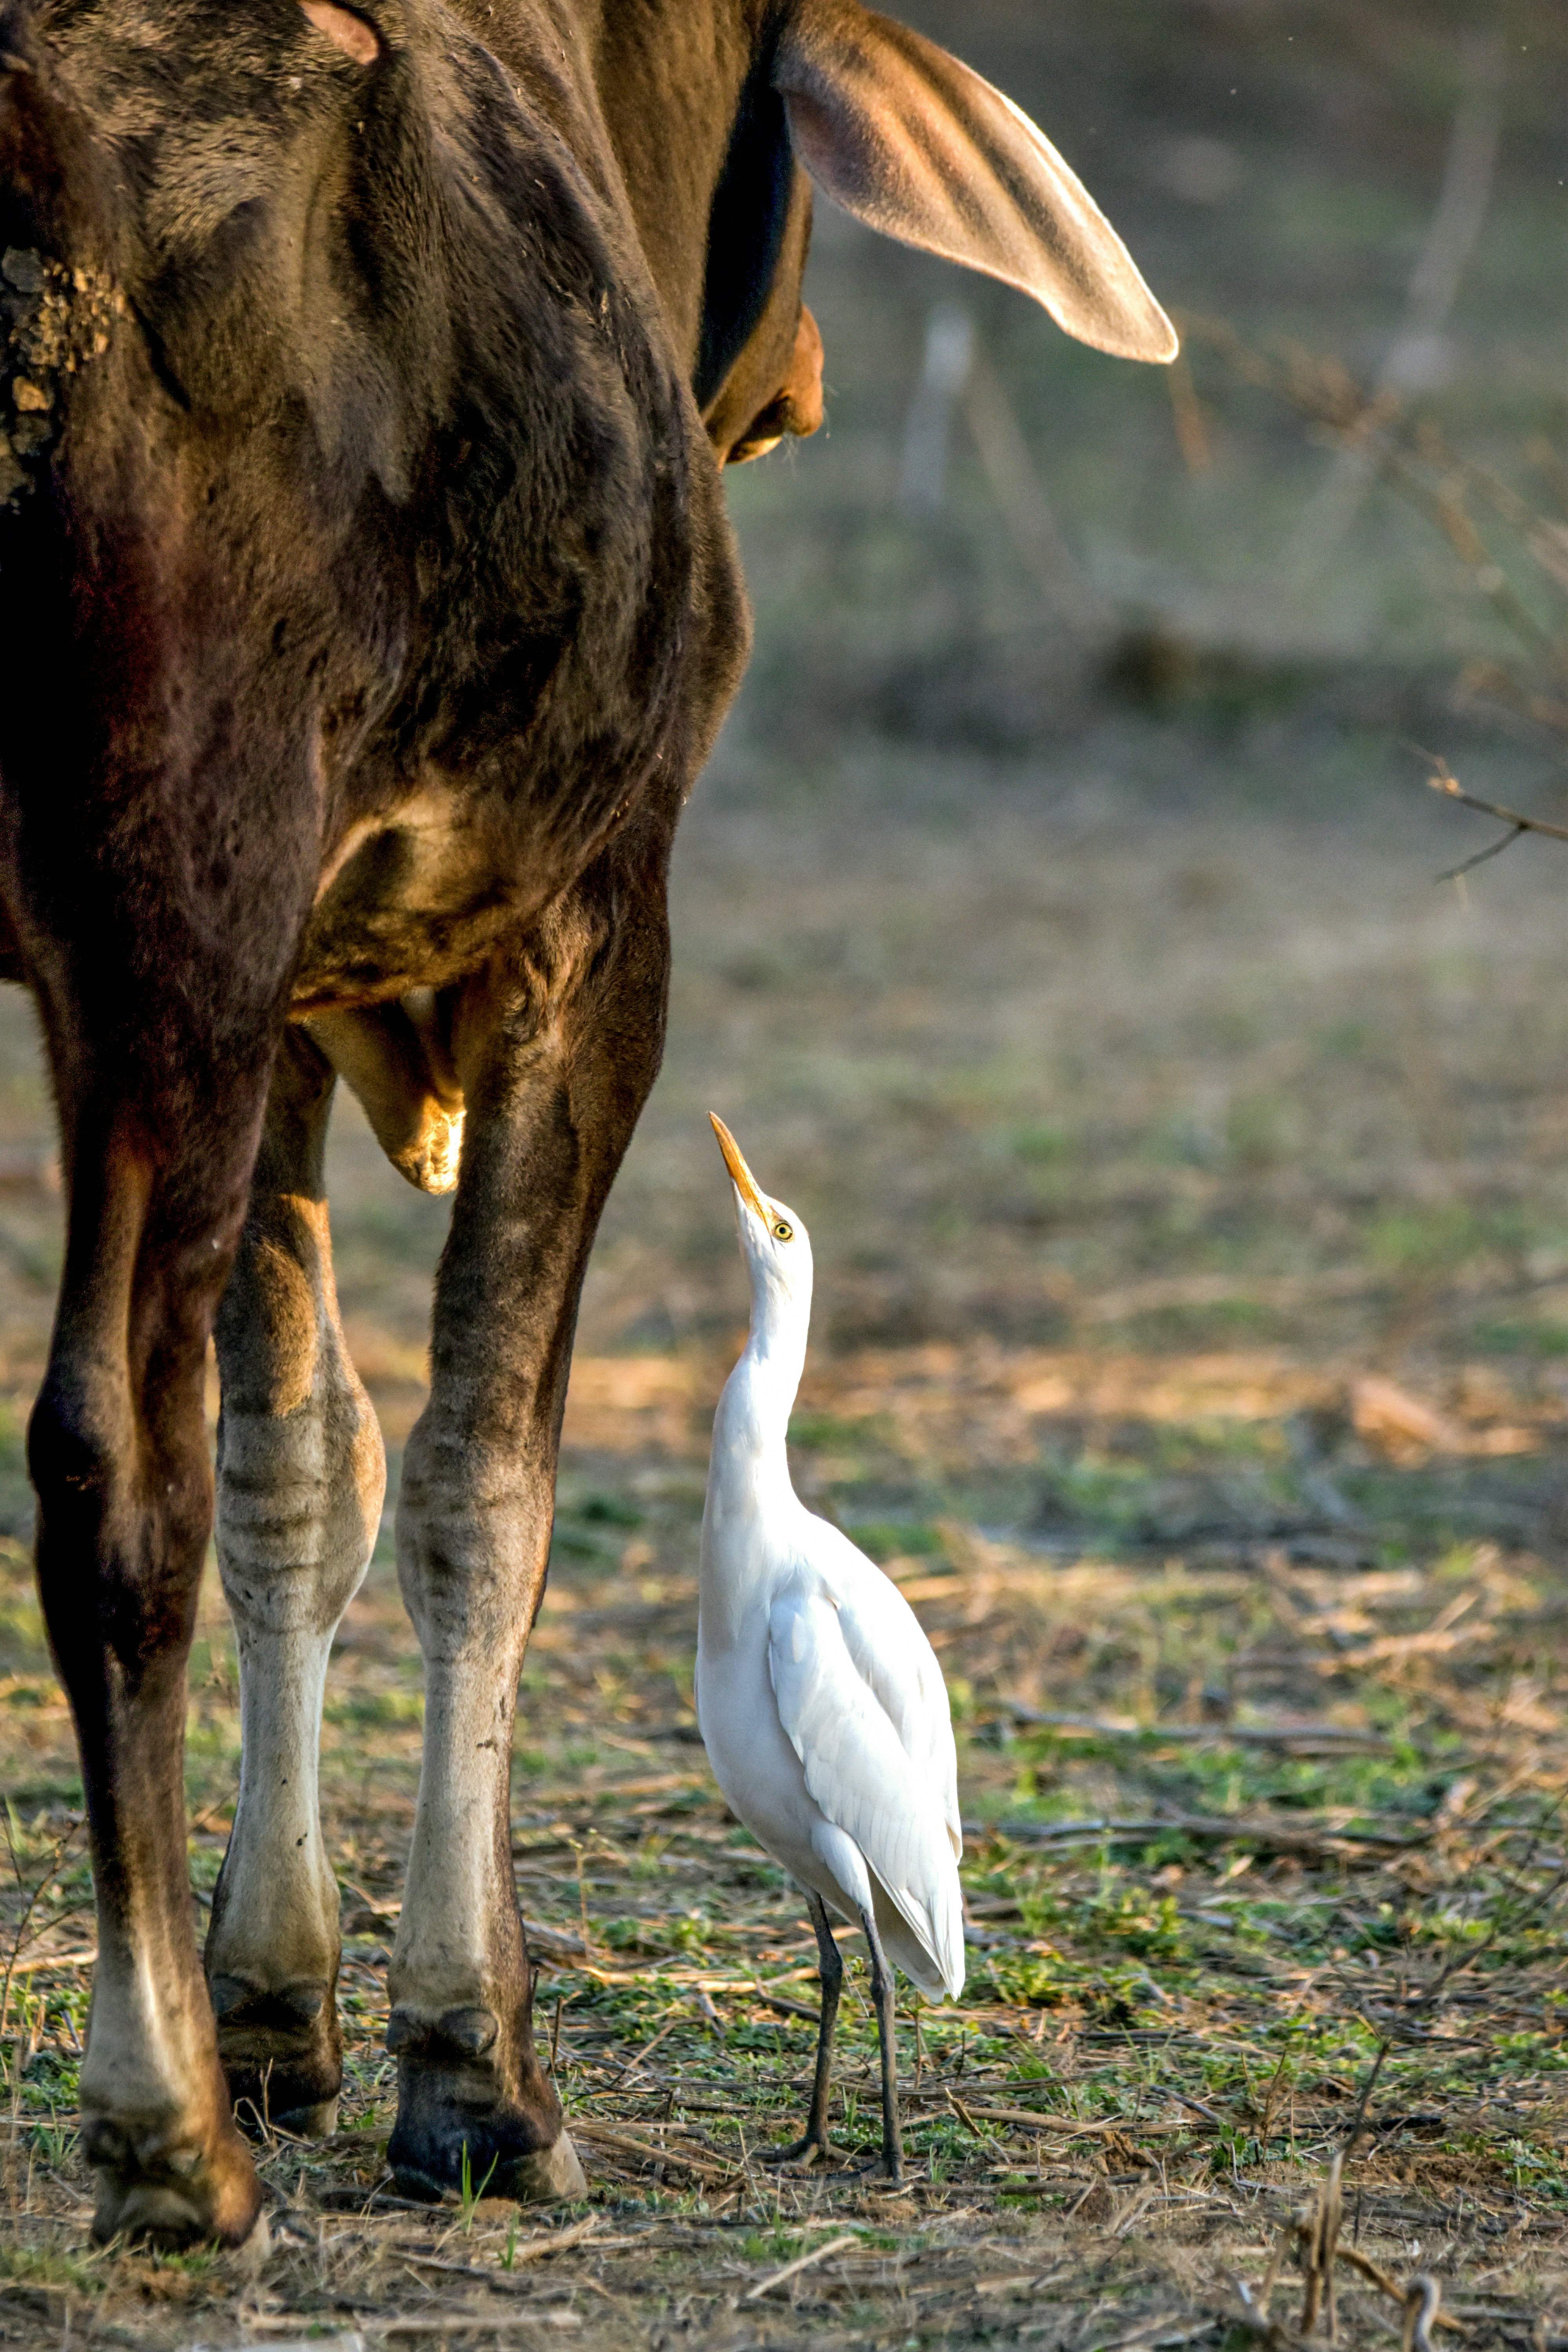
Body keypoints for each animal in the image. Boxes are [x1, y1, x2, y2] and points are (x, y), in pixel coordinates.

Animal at [0, 0, 1173, 2244]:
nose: (795, 387)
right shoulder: (590, 919)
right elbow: (484, 1481)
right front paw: (467, 2062)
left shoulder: (305, 985)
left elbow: (307, 1462)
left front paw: (283, 1998)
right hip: (159, 922)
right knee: (108, 1467)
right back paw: (162, 2123)